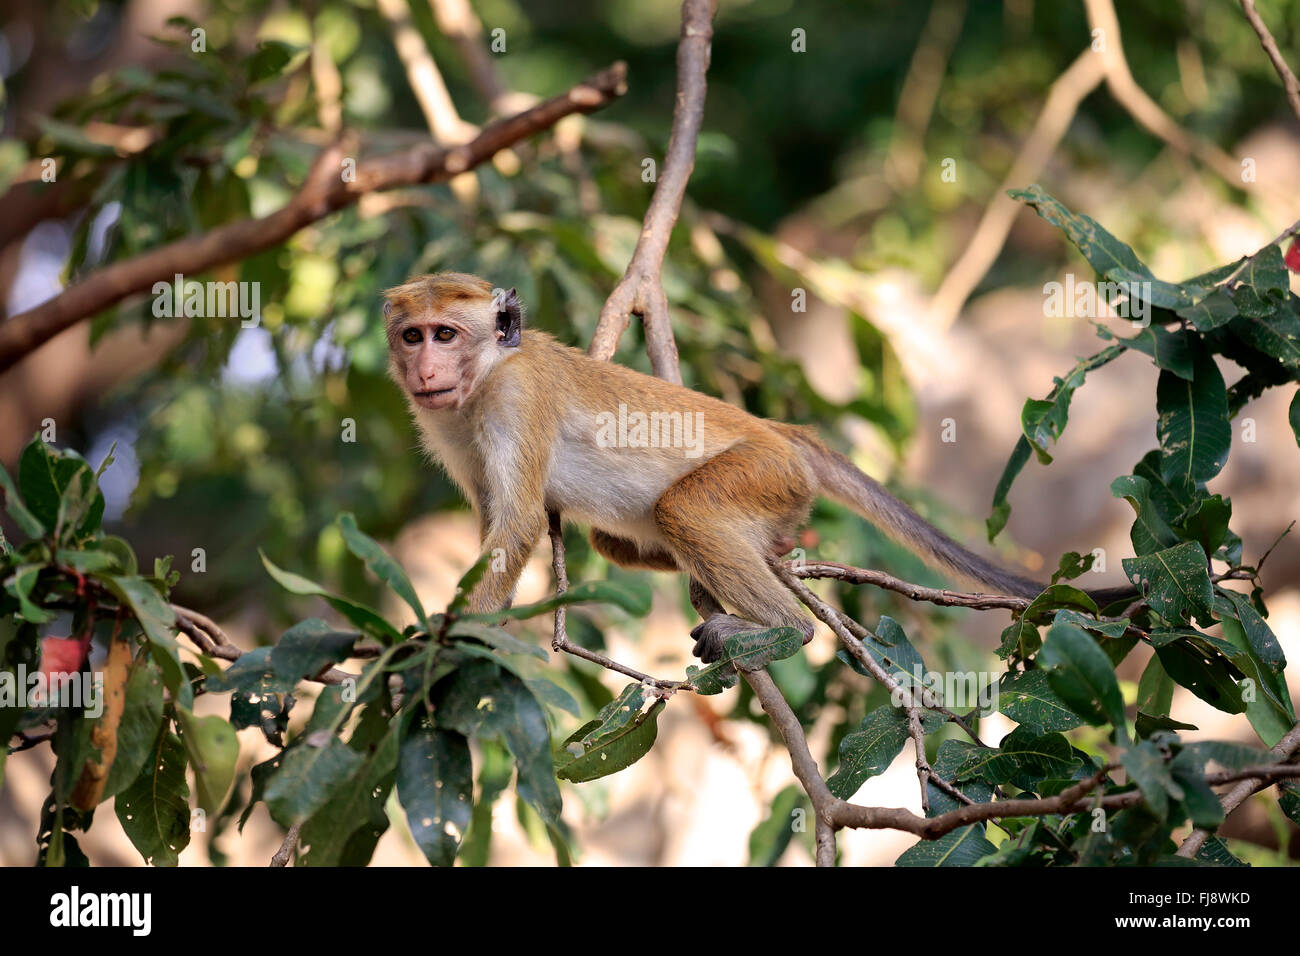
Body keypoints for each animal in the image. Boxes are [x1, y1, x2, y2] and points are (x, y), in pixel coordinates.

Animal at [385, 272, 1130, 663]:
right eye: (412, 335)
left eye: (446, 334)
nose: (424, 369)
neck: (483, 379)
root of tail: (784, 433)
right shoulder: (444, 425)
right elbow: (497, 523)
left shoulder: (519, 396)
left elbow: (513, 527)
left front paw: (442, 644)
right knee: (618, 536)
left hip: (763, 469)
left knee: (683, 509)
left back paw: (784, 626)